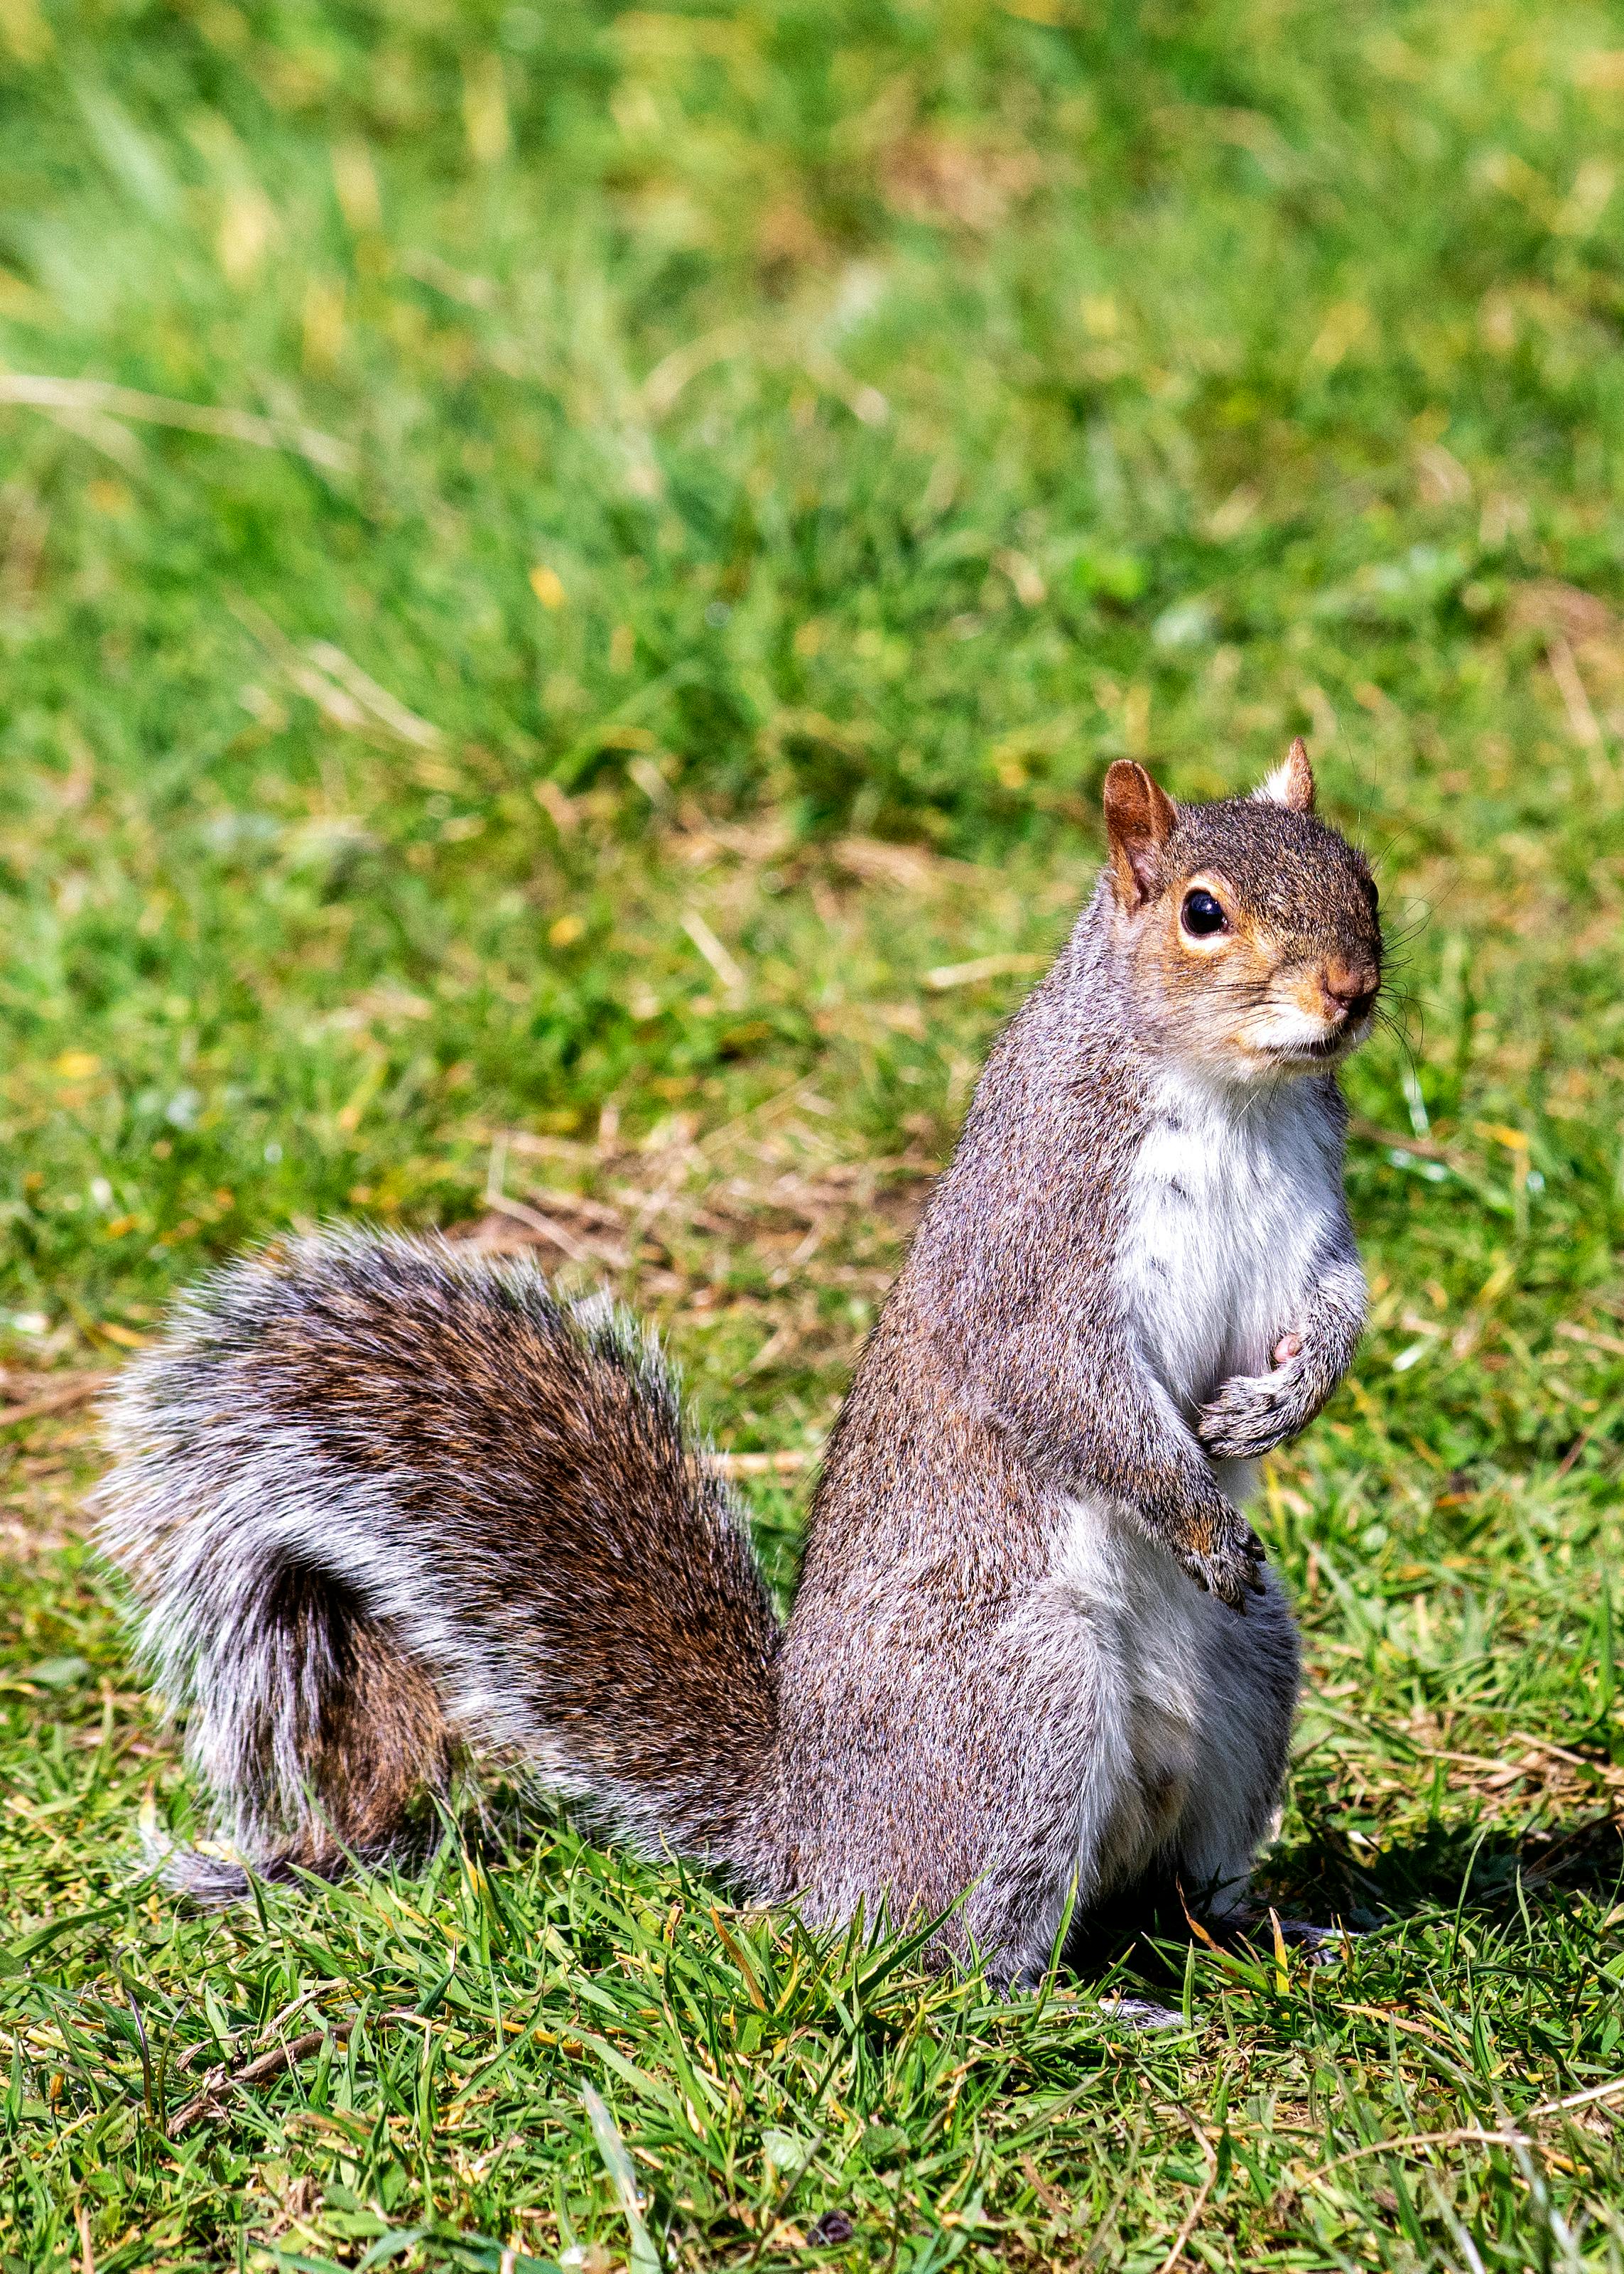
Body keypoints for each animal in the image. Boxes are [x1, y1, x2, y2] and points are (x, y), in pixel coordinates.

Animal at [96, 739, 1382, 1989]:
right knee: (949, 1961)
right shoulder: (1033, 1241)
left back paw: (1272, 1931)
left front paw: (1282, 1400)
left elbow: (1336, 1305)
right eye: (1203, 913)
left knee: (1181, 1888)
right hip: (1023, 1712)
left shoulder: (1312, 1222)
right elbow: (1062, 1388)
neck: (1230, 1094)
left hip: (1252, 1670)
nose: (1351, 990)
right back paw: (1079, 2001)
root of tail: (800, 1830)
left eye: (1360, 876)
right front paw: (1196, 1512)